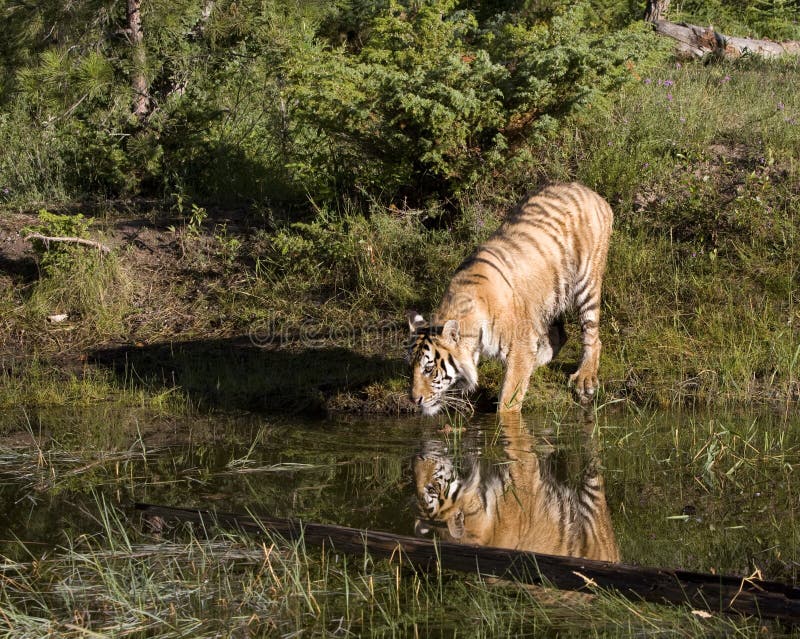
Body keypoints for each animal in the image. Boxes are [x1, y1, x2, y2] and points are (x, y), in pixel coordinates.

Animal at [407, 182, 613, 414]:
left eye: (429, 369)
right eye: (411, 367)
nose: (414, 399)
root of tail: (591, 192)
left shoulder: (520, 345)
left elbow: (508, 399)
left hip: (587, 282)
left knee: (592, 335)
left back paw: (585, 378)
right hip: (549, 297)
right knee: (558, 336)